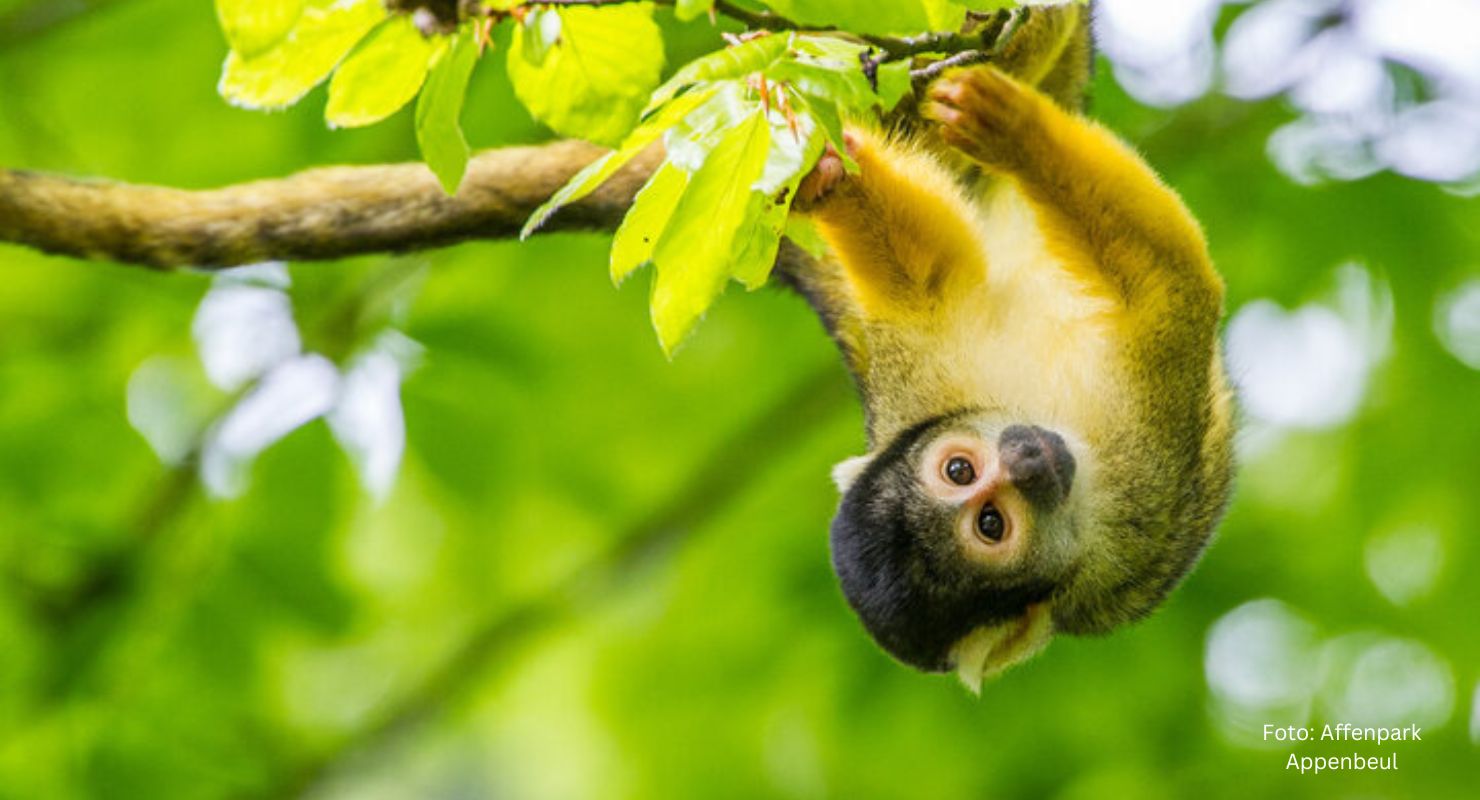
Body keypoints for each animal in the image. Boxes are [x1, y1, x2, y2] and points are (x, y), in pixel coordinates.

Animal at [785, 60, 1234, 689]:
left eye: (957, 469)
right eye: (991, 524)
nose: (1024, 459)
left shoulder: (924, 385)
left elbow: (930, 277)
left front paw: (827, 177)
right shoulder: (1143, 479)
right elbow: (1172, 283)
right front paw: (1024, 136)